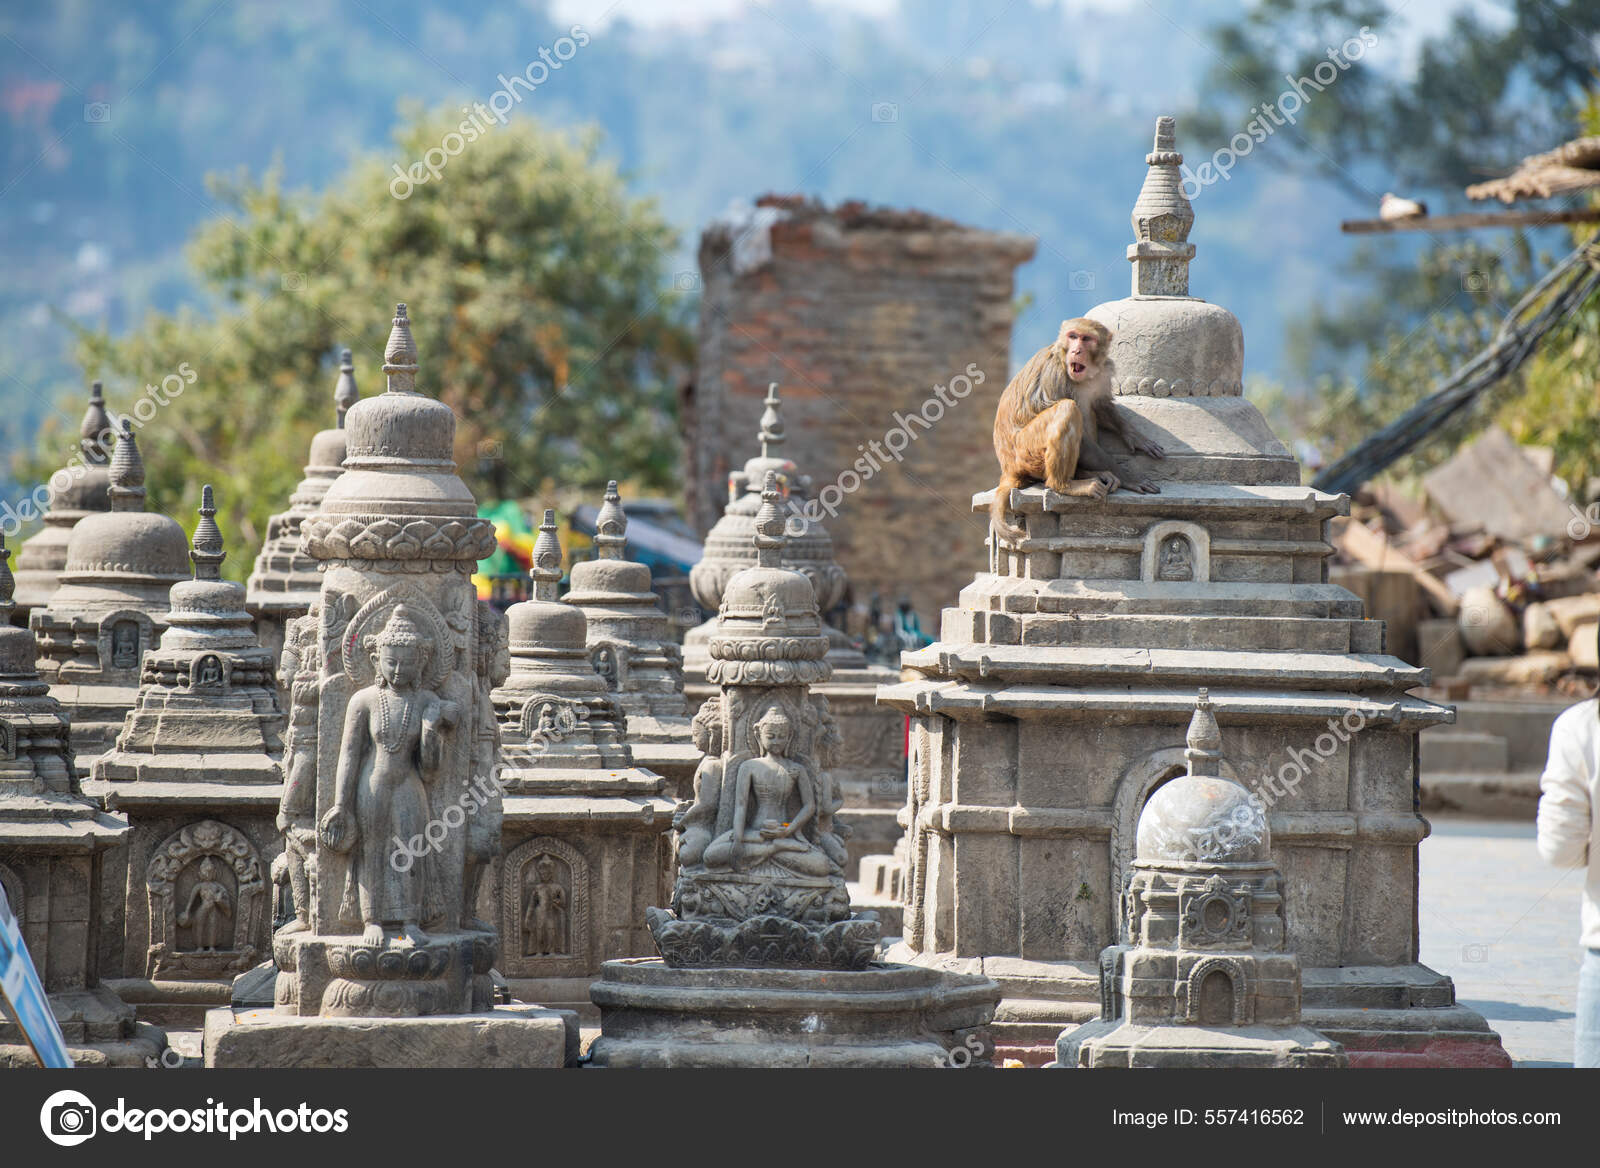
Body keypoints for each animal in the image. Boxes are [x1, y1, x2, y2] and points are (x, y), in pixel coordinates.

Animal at [989, 317, 1166, 543]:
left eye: (1086, 339)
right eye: (1072, 336)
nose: (1076, 351)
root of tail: (1007, 466)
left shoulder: (1103, 372)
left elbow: (1100, 404)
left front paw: (1134, 437)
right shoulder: (1055, 373)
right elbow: (1080, 433)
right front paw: (1129, 478)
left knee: (1086, 406)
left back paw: (1088, 473)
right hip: (1025, 452)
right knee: (1069, 409)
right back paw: (1064, 485)